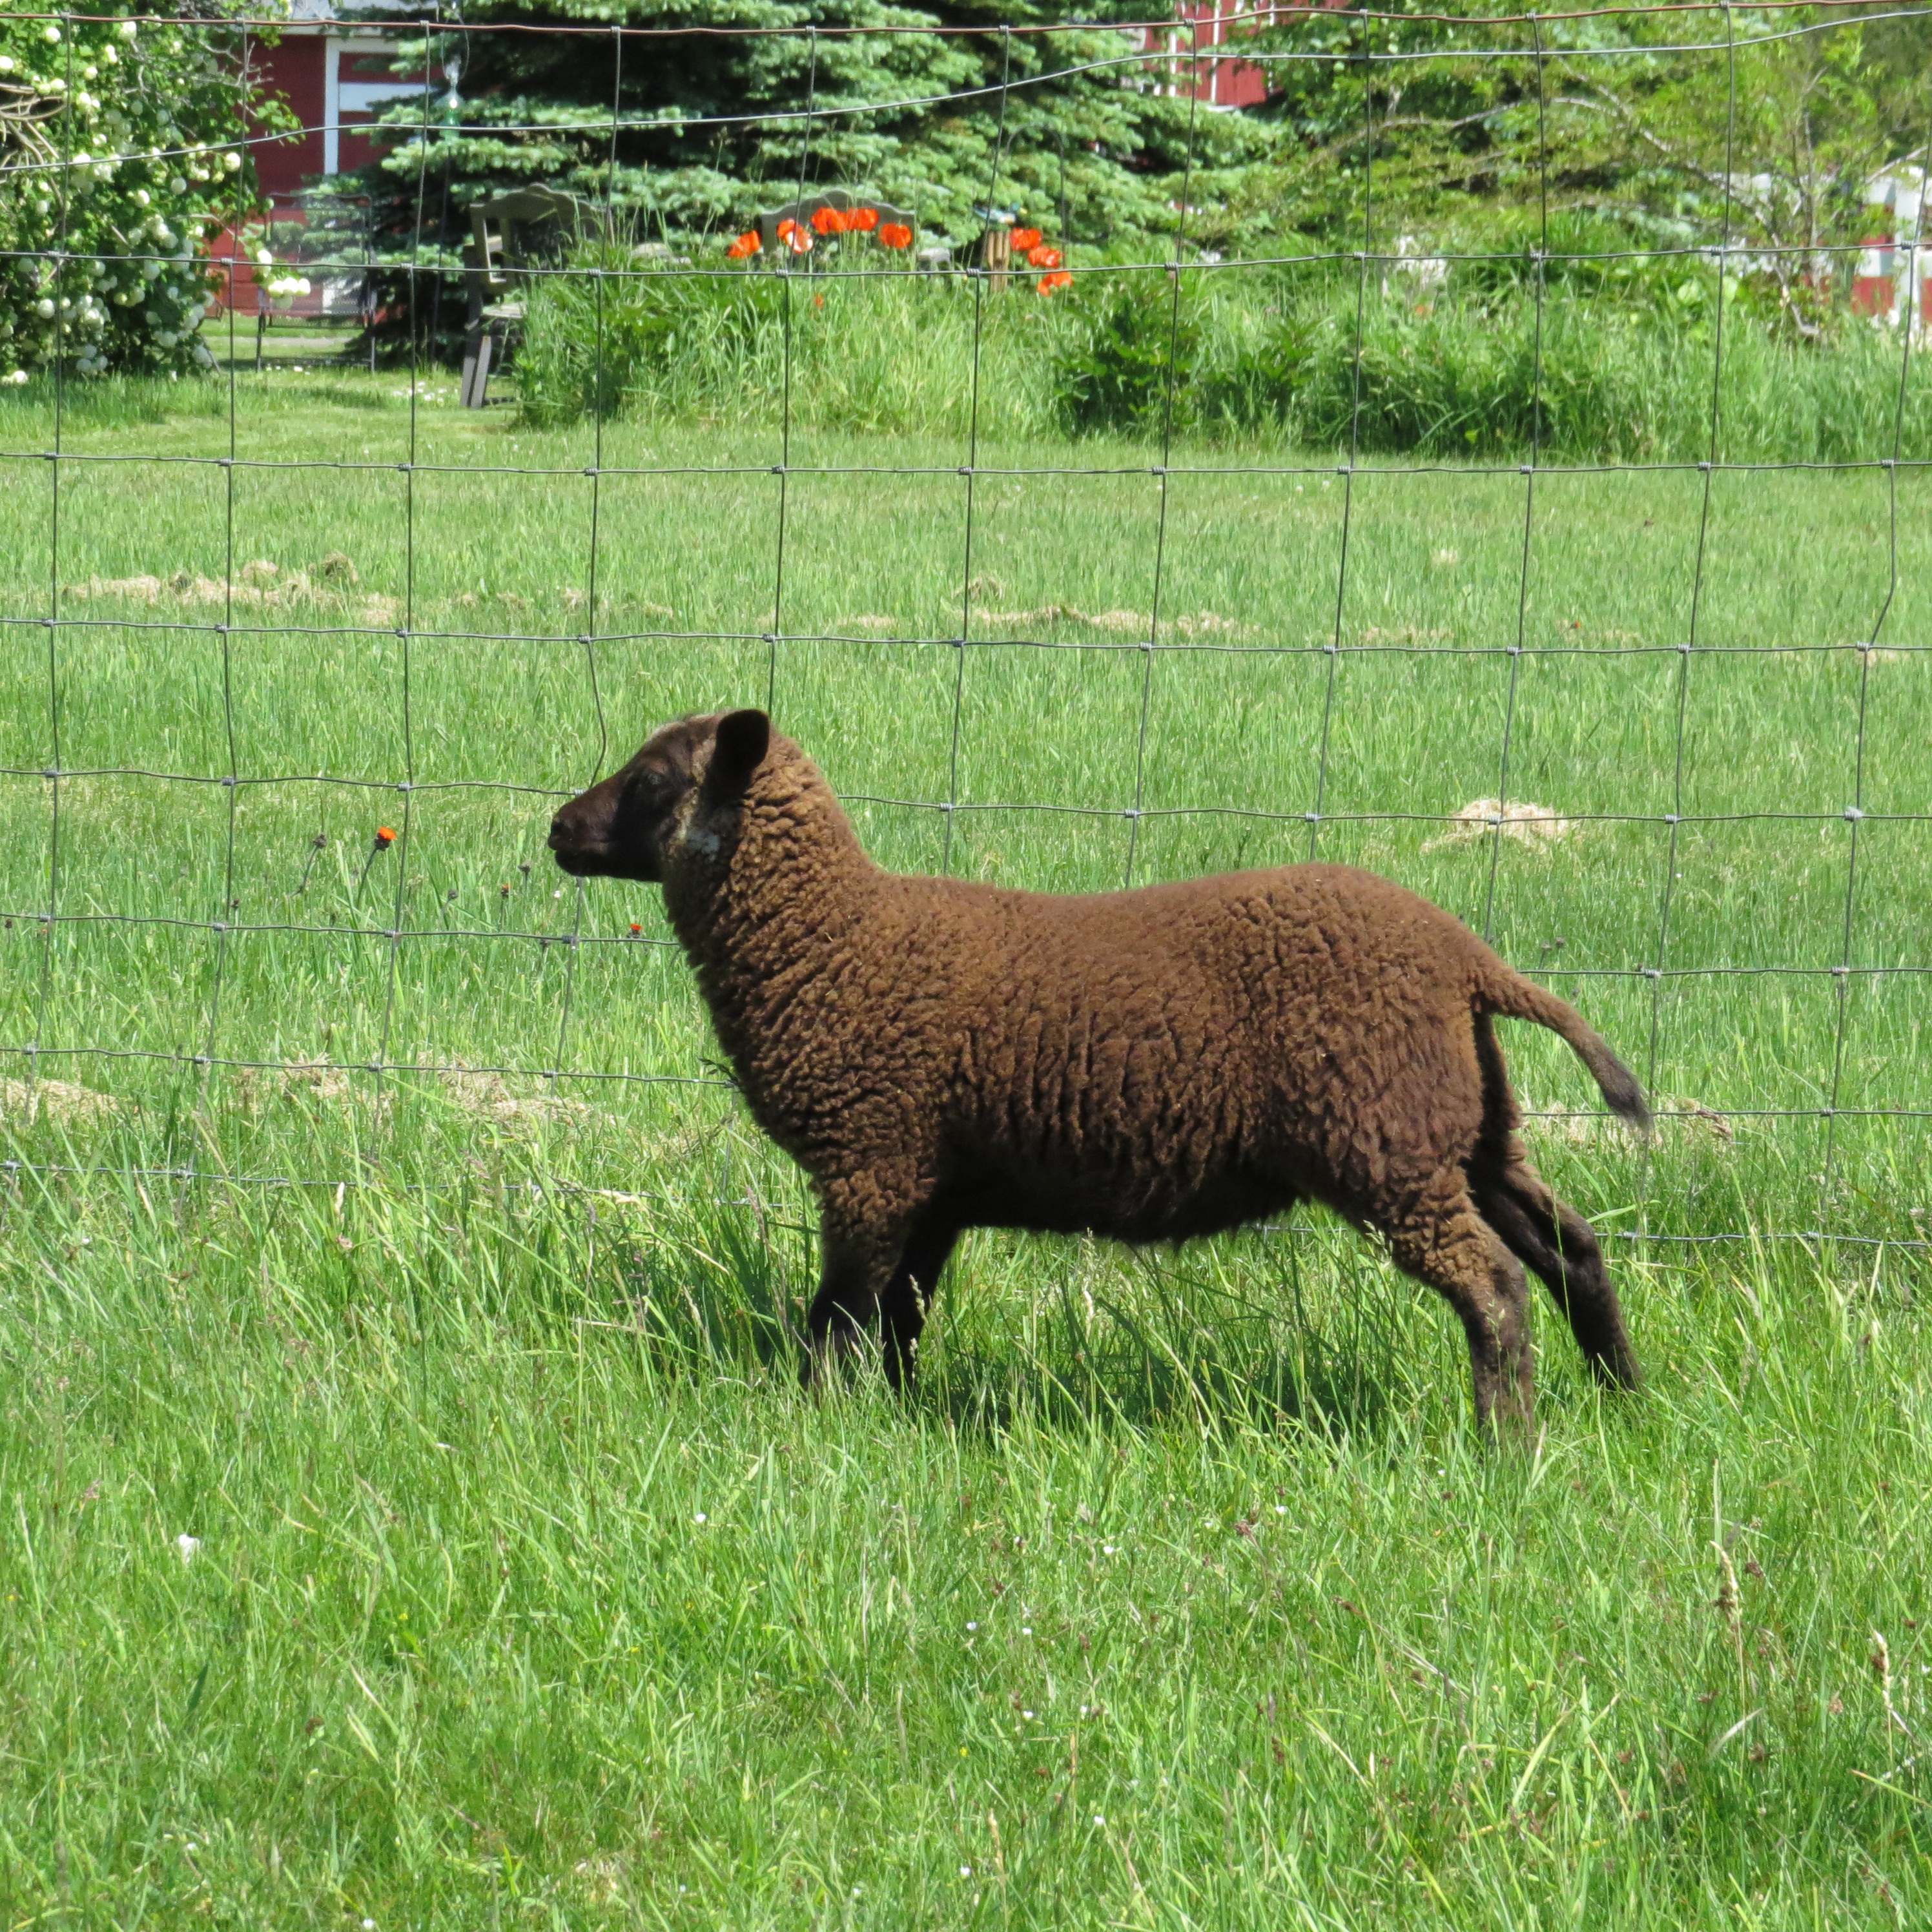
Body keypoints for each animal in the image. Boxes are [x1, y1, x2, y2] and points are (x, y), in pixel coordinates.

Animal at [548, 709, 1650, 1429]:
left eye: (651, 782)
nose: (559, 828)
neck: (835, 941)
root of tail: (1467, 959)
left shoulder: (873, 1162)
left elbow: (841, 1320)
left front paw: (814, 1426)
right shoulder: (933, 1188)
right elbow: (902, 1324)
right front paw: (895, 1428)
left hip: (1385, 1143)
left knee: (1497, 1287)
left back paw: (1505, 1446)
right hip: (1463, 1131)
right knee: (1575, 1252)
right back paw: (1624, 1407)